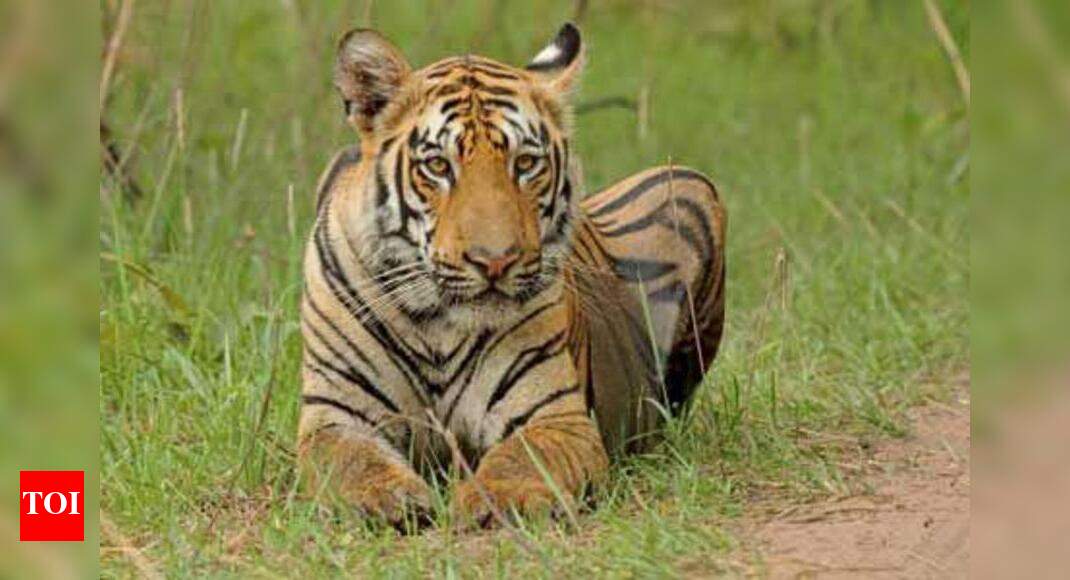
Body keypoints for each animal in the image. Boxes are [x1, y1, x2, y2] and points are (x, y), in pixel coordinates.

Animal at [298, 23, 726, 527]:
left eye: (525, 164)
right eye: (438, 166)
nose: (495, 262)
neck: (437, 324)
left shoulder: (554, 416)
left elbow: (523, 457)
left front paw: (500, 497)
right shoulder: (336, 415)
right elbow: (350, 459)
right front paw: (384, 497)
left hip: (688, 183)